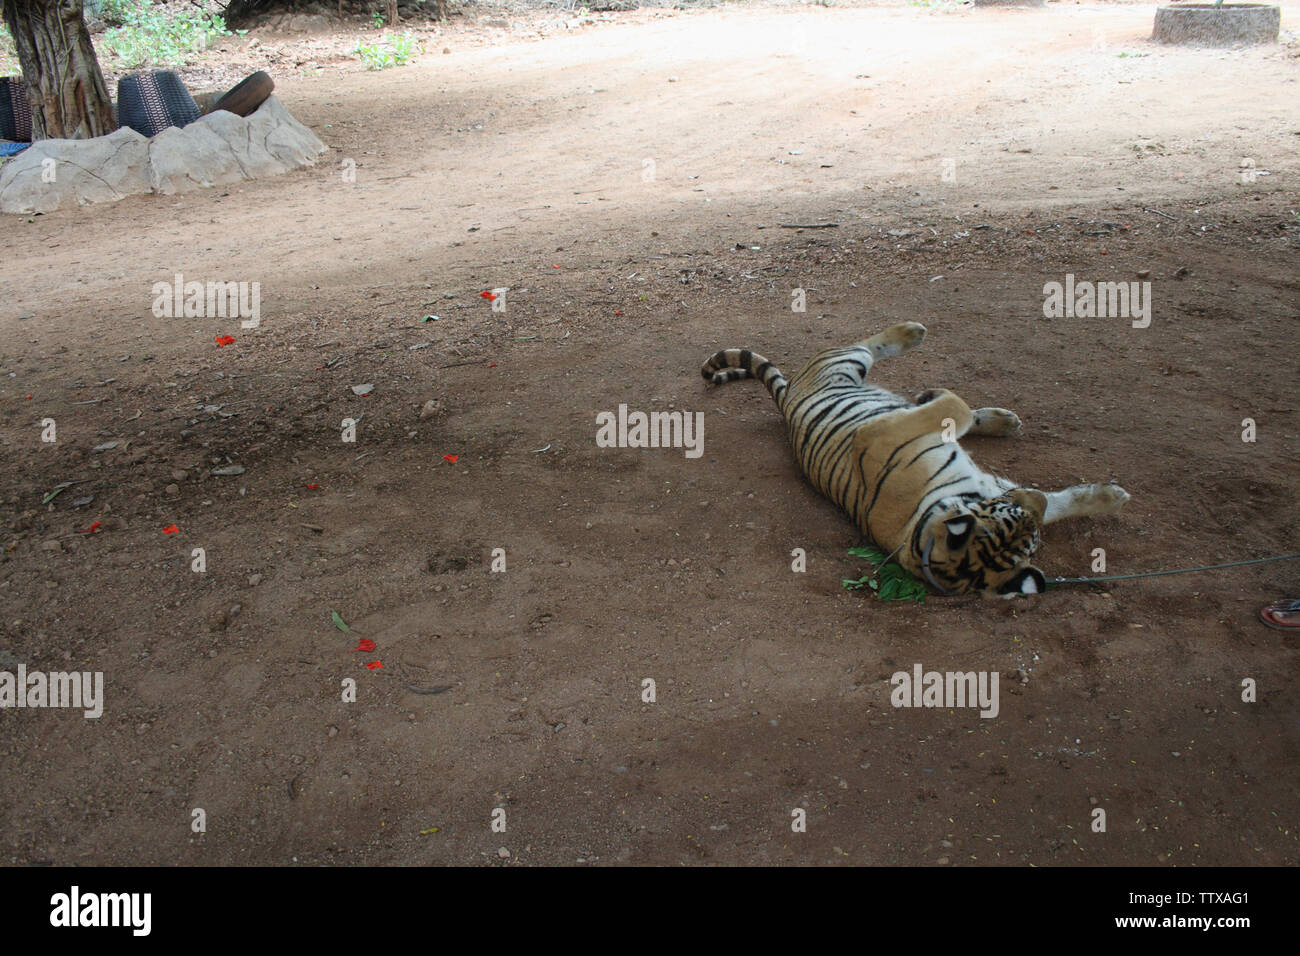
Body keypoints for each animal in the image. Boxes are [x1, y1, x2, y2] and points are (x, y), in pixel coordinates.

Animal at [701, 322, 1129, 597]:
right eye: (1012, 513)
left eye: (1033, 539)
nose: (1031, 496)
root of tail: (788, 395)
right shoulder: (879, 432)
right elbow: (955, 406)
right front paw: (935, 395)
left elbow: (1065, 501)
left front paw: (1111, 496)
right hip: (844, 362)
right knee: (864, 344)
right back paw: (913, 333)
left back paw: (1001, 419)